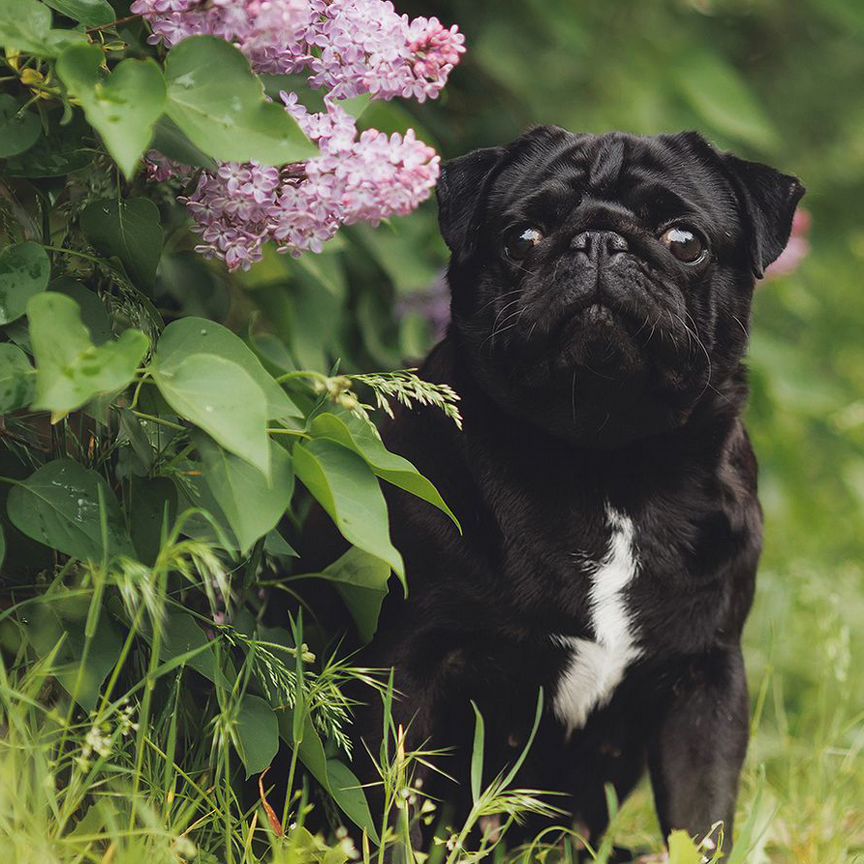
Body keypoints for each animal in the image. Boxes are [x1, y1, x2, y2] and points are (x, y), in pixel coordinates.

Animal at [308, 128, 800, 856]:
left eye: (685, 240)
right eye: (522, 237)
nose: (598, 238)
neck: (606, 466)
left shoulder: (704, 683)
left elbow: (701, 819)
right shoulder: (407, 668)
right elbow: (392, 809)